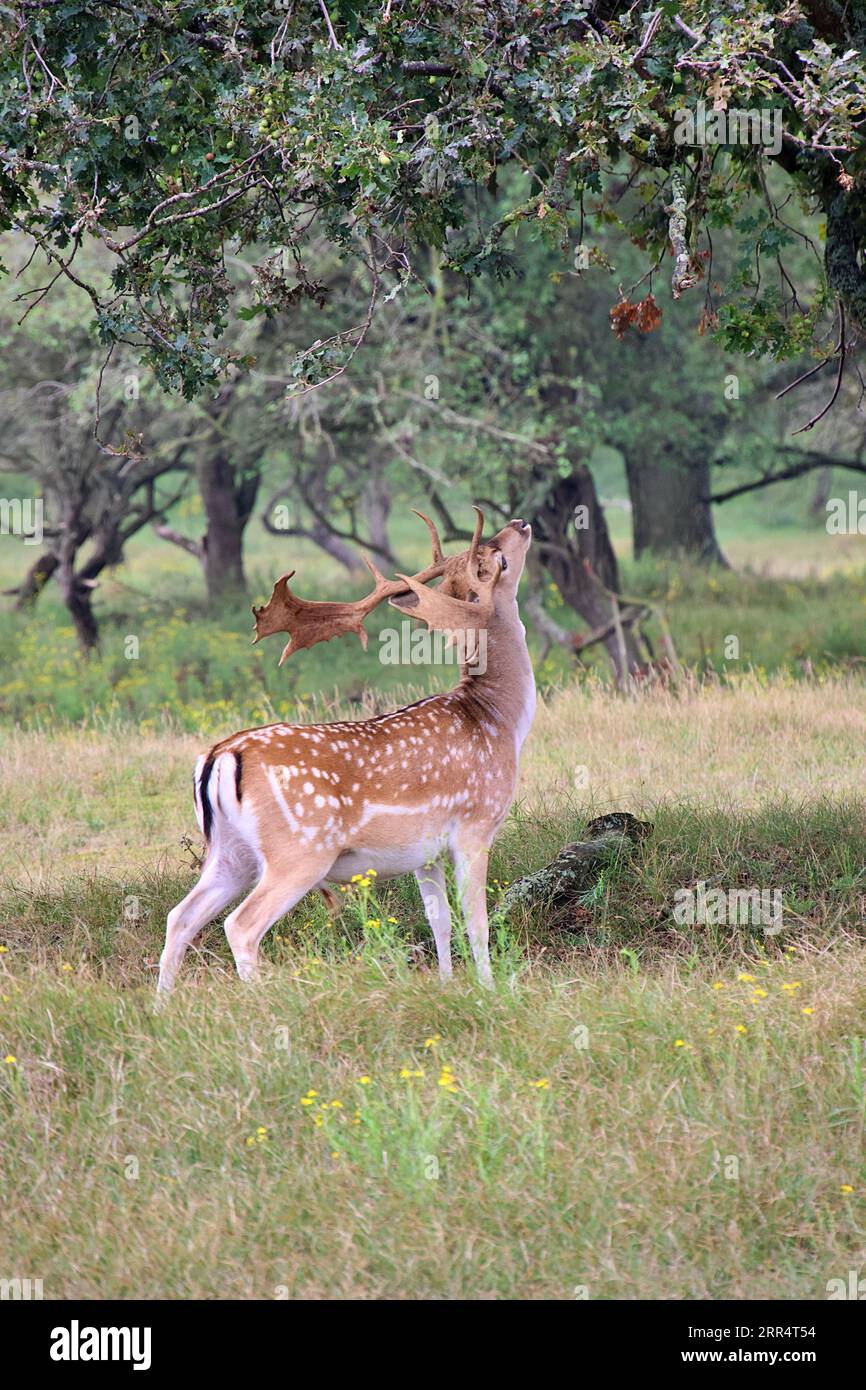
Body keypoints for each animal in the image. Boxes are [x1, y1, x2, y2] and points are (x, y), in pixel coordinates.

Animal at [157, 508, 535, 994]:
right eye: (497, 559)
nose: (520, 523)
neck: (500, 718)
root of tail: (219, 757)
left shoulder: (425, 852)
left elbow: (440, 920)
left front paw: (447, 985)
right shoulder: (476, 824)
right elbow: (477, 921)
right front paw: (490, 991)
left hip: (229, 851)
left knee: (180, 917)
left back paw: (162, 1006)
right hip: (299, 850)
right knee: (240, 925)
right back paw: (260, 1000)